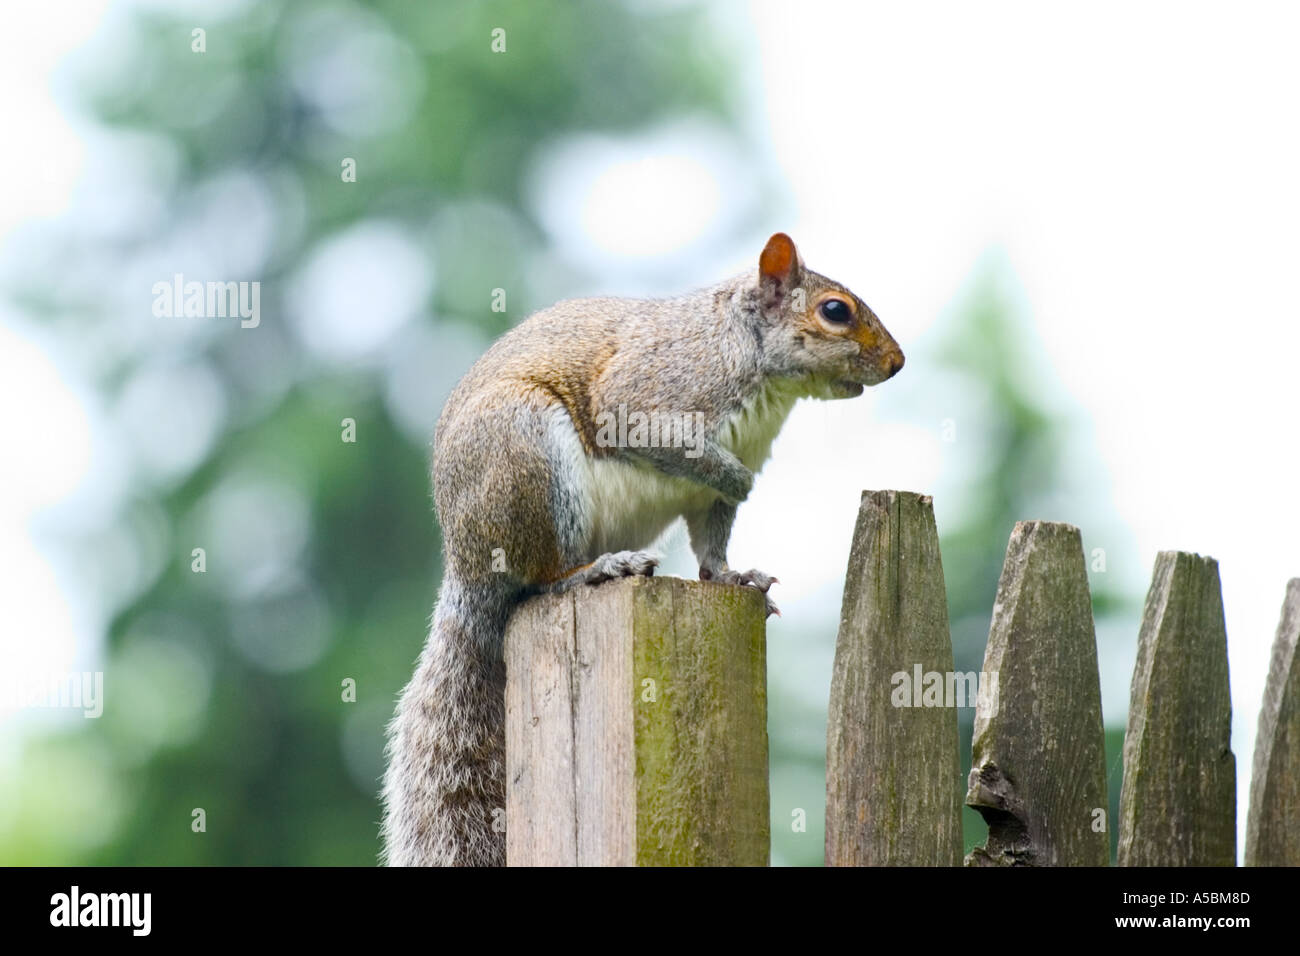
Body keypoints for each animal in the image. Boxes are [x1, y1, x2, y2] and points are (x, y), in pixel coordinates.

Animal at [381, 233, 904, 866]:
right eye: (835, 311)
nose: (897, 362)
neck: (750, 359)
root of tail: (466, 569)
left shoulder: (711, 495)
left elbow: (711, 544)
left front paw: (733, 576)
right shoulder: (648, 393)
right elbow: (653, 433)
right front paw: (735, 478)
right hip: (526, 455)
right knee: (541, 578)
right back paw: (598, 569)